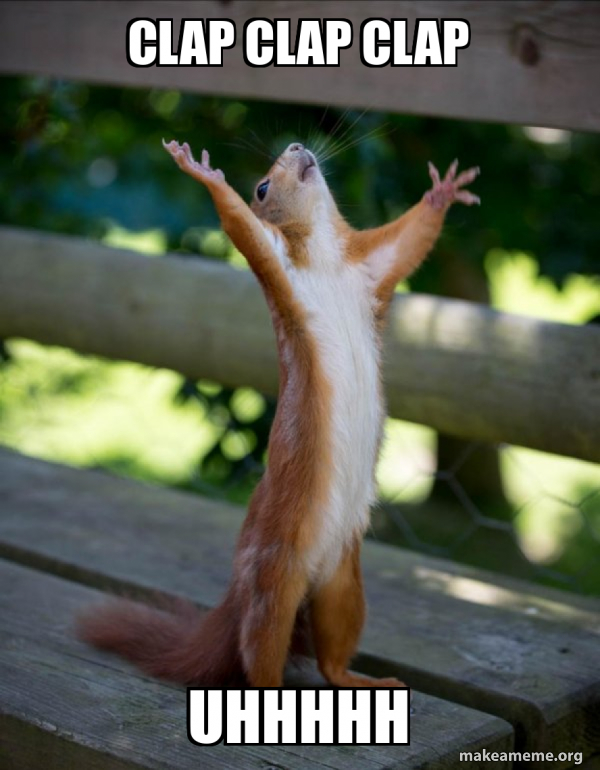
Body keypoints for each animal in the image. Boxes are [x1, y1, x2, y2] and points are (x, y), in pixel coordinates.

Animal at [77, 139, 479, 688]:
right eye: (262, 187)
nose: (296, 146)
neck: (326, 259)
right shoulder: (277, 264)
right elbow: (240, 226)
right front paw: (204, 173)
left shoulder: (372, 267)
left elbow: (410, 240)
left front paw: (442, 193)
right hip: (274, 580)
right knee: (260, 652)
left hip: (344, 584)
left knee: (332, 655)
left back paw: (362, 680)